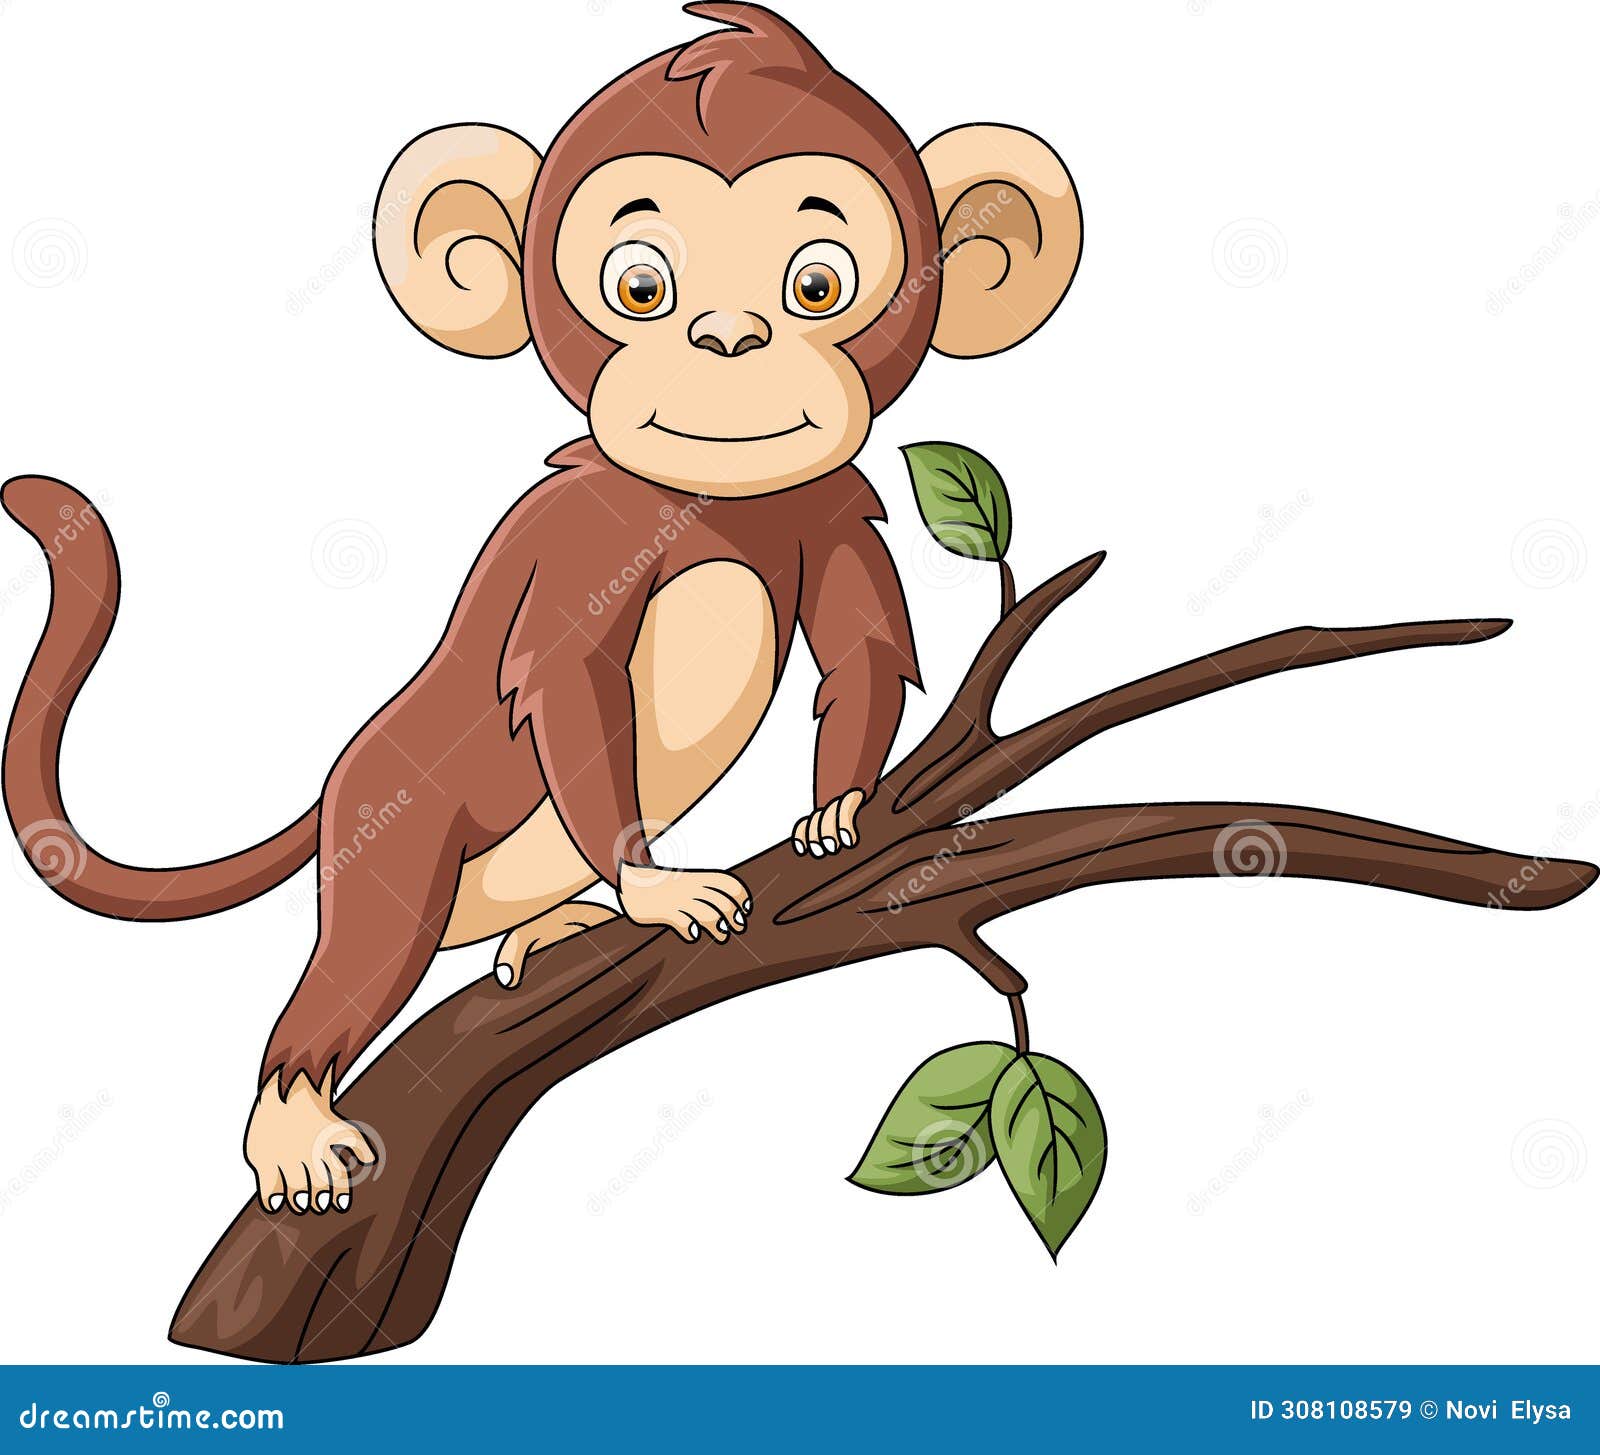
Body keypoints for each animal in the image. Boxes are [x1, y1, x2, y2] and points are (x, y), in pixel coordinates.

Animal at [2, 4, 1082, 1215]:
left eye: (819, 284)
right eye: (639, 286)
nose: (728, 337)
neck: (708, 505)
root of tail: (338, 785)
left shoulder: (829, 503)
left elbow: (860, 648)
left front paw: (837, 808)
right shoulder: (580, 543)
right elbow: (568, 686)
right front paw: (655, 888)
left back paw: (551, 925)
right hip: (396, 821)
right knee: (363, 958)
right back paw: (293, 1115)